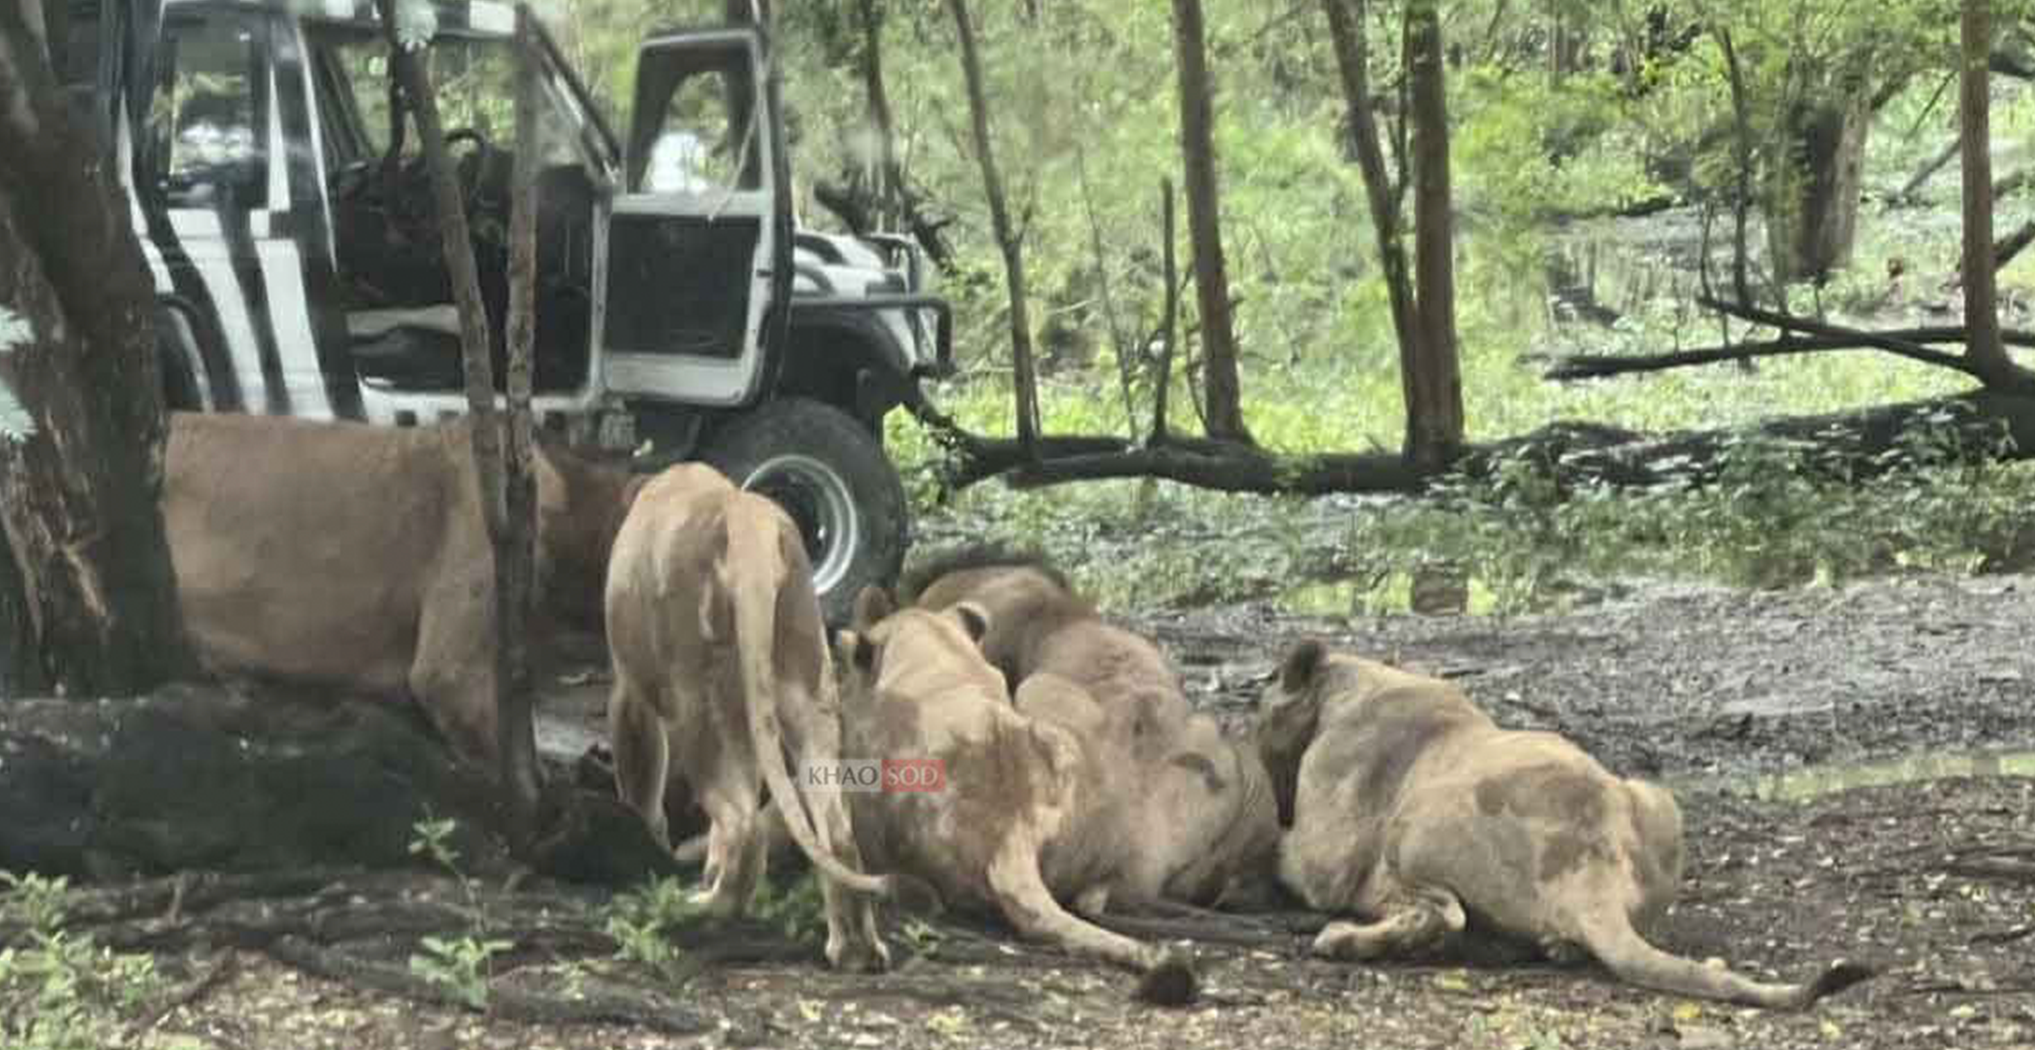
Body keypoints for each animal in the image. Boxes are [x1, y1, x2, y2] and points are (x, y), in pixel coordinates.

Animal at [1254, 639, 1875, 1009]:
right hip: (1655, 798)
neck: (1350, 684)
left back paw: (1340, 940)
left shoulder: (1323, 857)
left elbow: (1286, 853)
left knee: (1444, 916)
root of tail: (1593, 864)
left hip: (1417, 824)